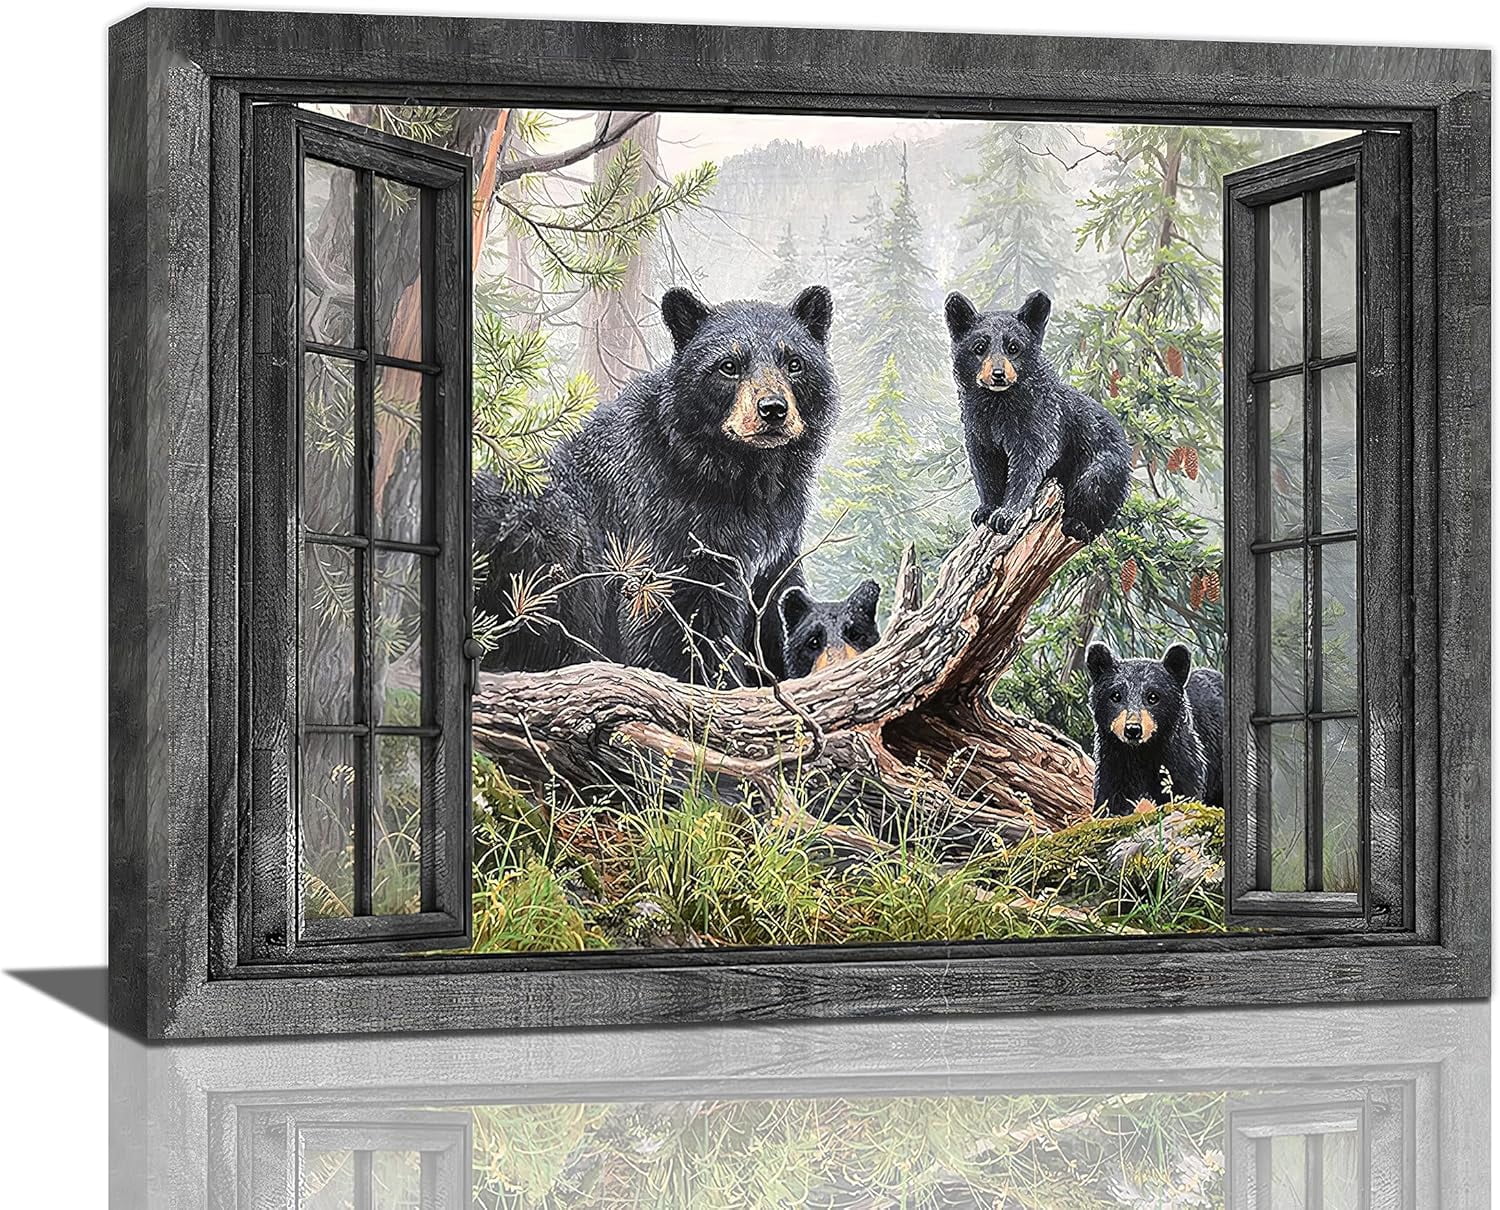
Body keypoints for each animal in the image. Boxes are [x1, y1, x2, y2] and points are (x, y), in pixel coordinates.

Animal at [473, 285, 839, 685]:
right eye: (729, 366)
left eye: (794, 363)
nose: (772, 409)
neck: (738, 473)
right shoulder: (666, 525)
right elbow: (673, 625)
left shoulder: (777, 545)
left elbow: (778, 606)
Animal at [944, 289, 1131, 543]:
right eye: (979, 347)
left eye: (1014, 347)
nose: (998, 374)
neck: (998, 402)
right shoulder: (978, 426)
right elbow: (985, 466)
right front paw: (985, 509)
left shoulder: (1041, 418)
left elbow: (1029, 462)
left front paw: (1006, 514)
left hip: (1104, 463)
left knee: (1093, 485)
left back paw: (1078, 525)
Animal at [1085, 642, 1224, 817]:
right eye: (1115, 696)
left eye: (1153, 697)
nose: (1132, 729)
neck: (1140, 752)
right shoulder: (1113, 758)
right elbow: (1110, 797)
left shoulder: (1180, 755)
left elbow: (1185, 789)